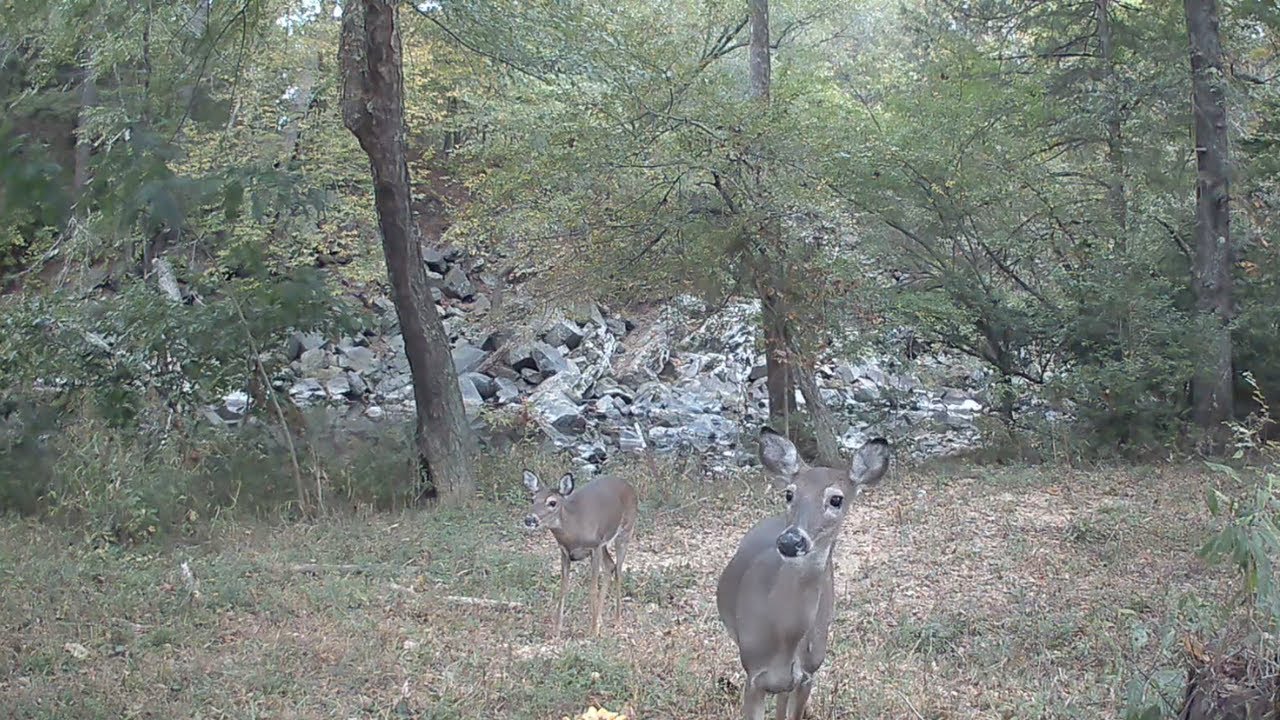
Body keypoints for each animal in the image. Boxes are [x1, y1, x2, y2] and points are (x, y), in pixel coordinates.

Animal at [521, 469, 638, 638]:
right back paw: (600, 619)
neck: (573, 531)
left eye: (552, 502)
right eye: (532, 499)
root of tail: (628, 485)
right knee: (610, 566)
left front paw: (593, 631)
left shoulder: (594, 547)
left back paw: (617, 620)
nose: (529, 519)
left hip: (626, 531)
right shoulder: (565, 552)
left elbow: (592, 588)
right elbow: (563, 587)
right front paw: (557, 631)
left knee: (618, 571)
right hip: (604, 543)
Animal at [716, 427, 891, 720]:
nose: (790, 541)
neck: (784, 633)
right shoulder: (753, 675)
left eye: (836, 499)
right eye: (789, 494)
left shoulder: (808, 675)